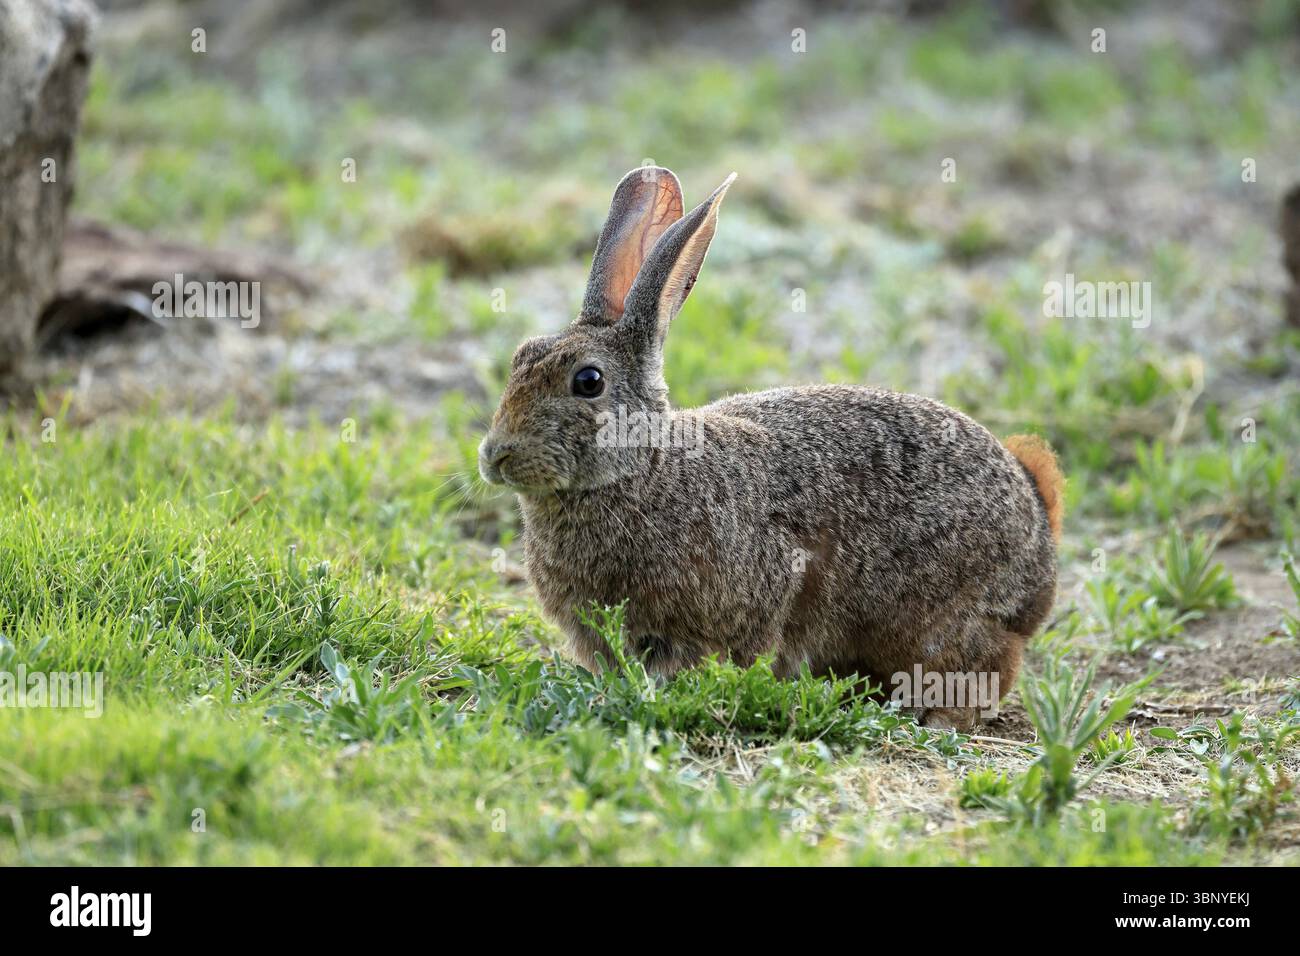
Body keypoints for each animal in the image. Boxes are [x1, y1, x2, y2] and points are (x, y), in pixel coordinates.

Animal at [478, 165, 1064, 730]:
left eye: (589, 381)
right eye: (521, 354)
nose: (496, 456)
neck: (645, 469)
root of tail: (1040, 535)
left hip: (944, 619)